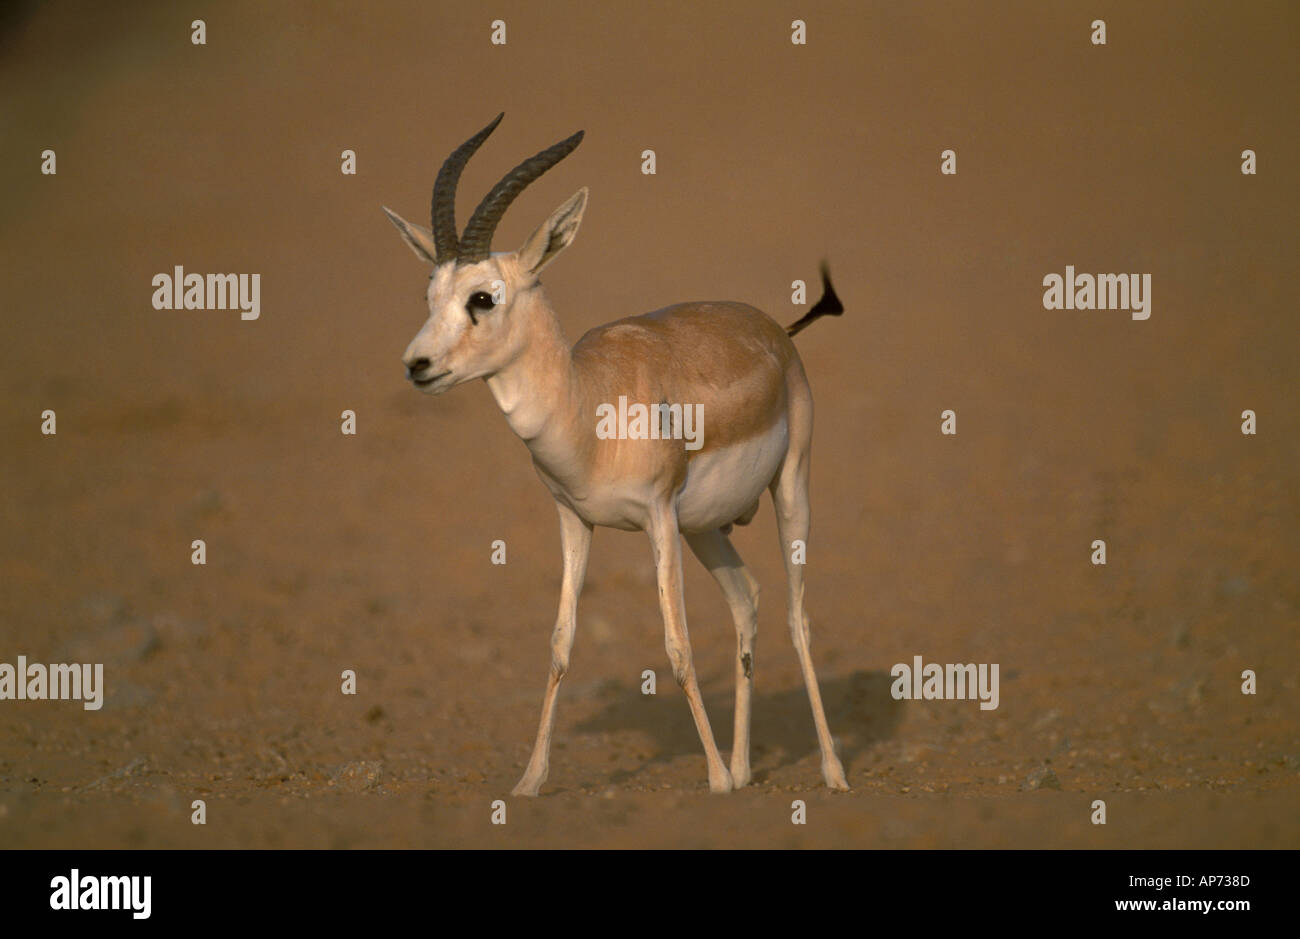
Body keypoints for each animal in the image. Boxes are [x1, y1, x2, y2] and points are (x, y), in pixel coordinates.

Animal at [383, 114, 849, 795]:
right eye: (429, 295)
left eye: (483, 298)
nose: (418, 365)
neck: (588, 404)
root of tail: (772, 330)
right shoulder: (574, 520)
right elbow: (560, 642)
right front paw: (529, 782)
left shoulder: (656, 517)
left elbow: (677, 645)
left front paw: (712, 780)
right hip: (705, 529)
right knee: (747, 599)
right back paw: (744, 770)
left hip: (791, 490)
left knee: (798, 616)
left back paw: (830, 772)